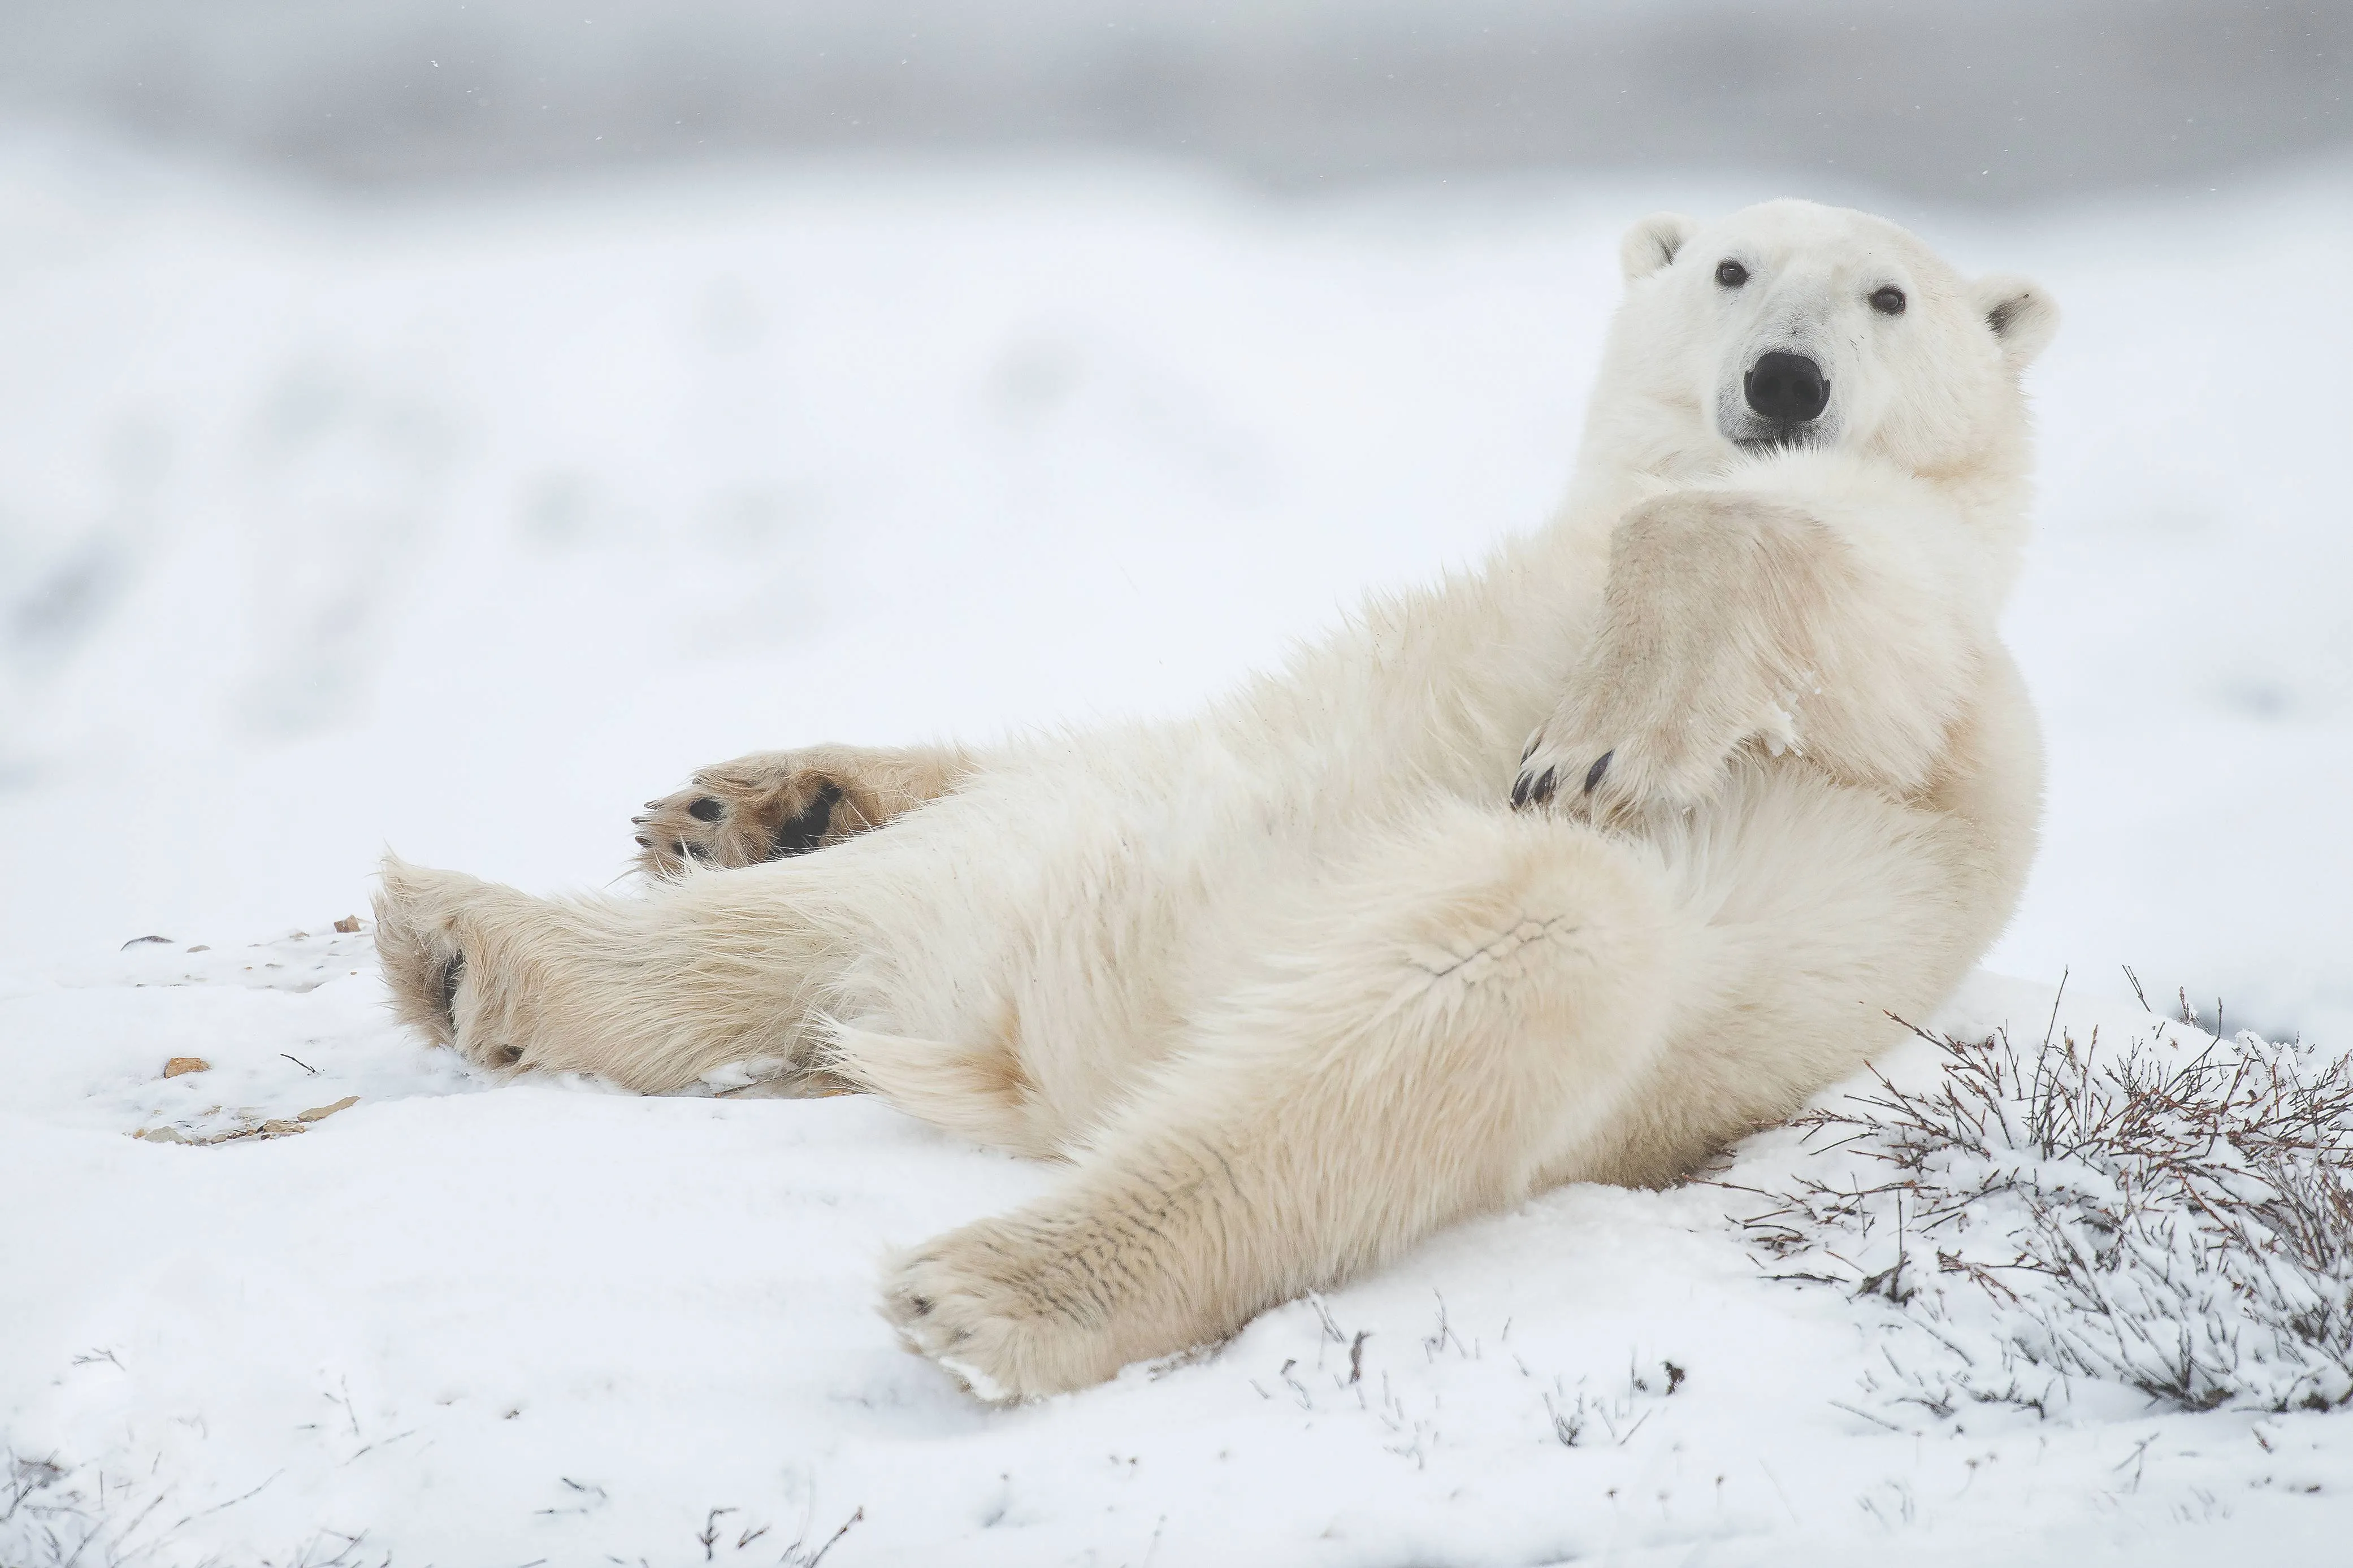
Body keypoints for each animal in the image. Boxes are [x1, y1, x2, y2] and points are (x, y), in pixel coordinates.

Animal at [373, 199, 2058, 1402]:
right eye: (1726, 266)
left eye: (1888, 297)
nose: (1783, 379)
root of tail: (1066, 1031)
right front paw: (754, 798)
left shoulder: (1930, 650)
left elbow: (1800, 599)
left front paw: (1598, 741)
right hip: (1100, 838)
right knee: (885, 893)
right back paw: (483, 939)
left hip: (1500, 967)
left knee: (1491, 967)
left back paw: (994, 1288)